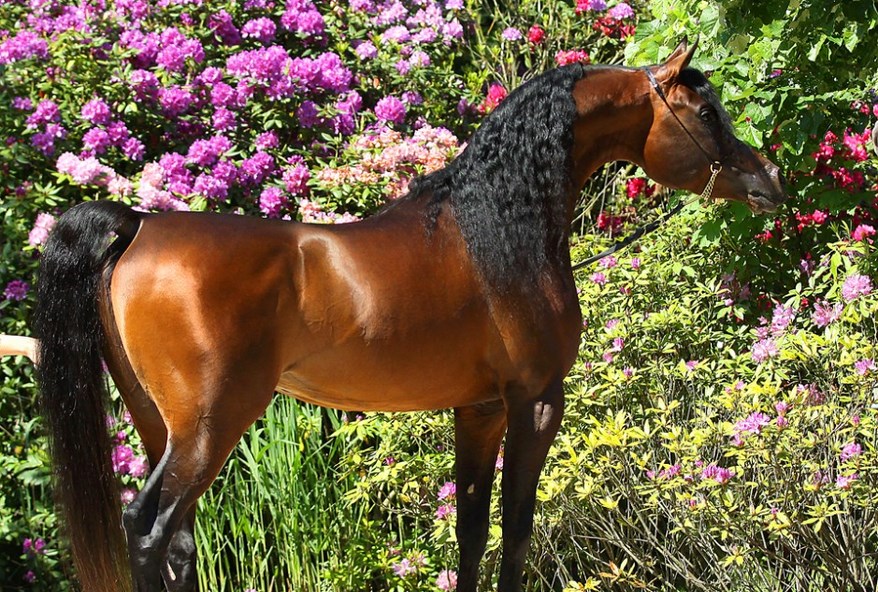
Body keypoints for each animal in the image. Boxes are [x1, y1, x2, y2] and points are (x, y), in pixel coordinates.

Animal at [32, 38, 786, 592]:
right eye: (707, 113)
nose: (770, 182)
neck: (498, 227)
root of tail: (137, 225)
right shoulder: (537, 401)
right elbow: (516, 529)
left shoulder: (480, 408)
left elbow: (473, 529)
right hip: (211, 425)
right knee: (150, 533)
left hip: (161, 425)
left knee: (178, 541)